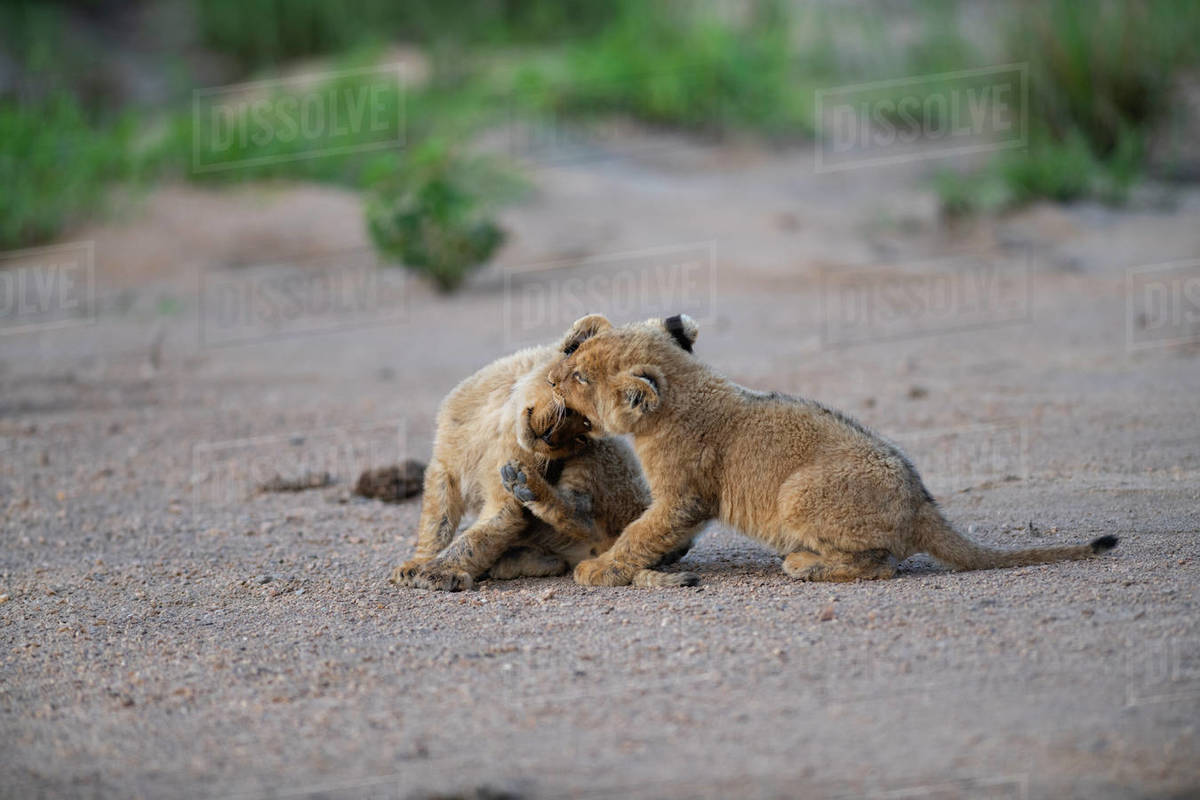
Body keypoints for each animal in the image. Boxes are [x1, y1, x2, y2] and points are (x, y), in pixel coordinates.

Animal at [388, 343, 698, 591]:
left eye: (583, 433)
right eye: (568, 407)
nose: (550, 439)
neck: (497, 418)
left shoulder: (509, 487)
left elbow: (476, 538)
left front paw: (437, 572)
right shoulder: (445, 466)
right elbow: (436, 520)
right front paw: (417, 564)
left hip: (605, 463)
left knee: (582, 514)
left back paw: (530, 494)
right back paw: (519, 559)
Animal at [526, 313, 1118, 586]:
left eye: (580, 376)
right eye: (576, 357)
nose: (551, 376)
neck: (687, 389)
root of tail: (920, 503)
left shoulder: (683, 499)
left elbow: (640, 533)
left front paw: (600, 569)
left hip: (798, 491)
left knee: (882, 565)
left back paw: (805, 564)